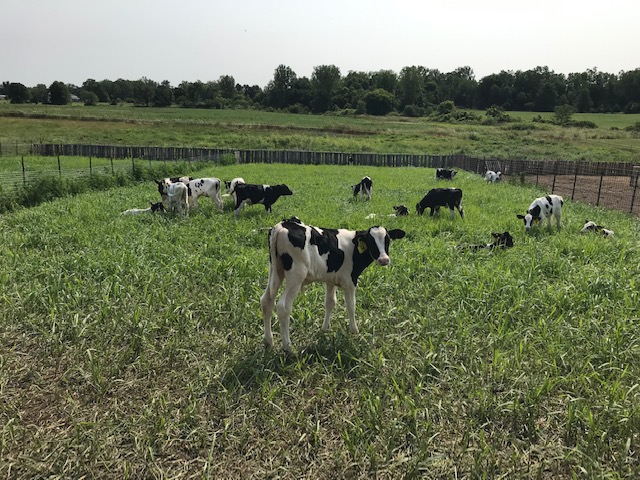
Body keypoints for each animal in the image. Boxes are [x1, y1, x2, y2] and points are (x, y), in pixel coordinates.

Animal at [260, 217, 406, 352]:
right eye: (371, 241)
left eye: (387, 240)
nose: (384, 260)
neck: (354, 248)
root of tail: (283, 225)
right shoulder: (350, 282)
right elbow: (351, 306)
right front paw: (354, 330)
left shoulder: (330, 280)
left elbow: (330, 302)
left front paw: (325, 329)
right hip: (296, 275)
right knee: (283, 306)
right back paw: (288, 347)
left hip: (275, 270)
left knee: (266, 300)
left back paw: (268, 341)